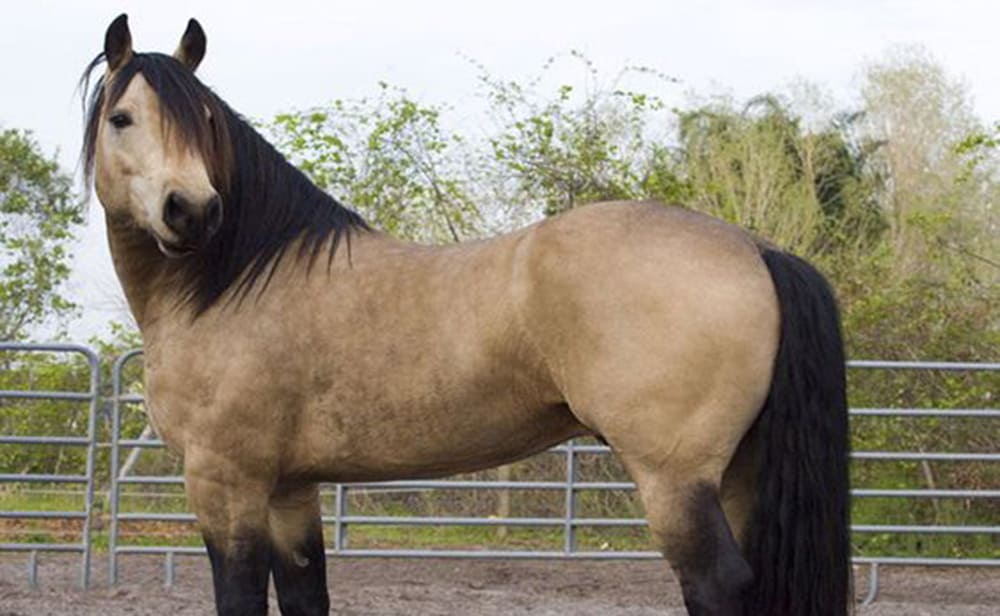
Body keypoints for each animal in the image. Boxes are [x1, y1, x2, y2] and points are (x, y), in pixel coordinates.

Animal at [81, 14, 851, 616]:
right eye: (122, 119)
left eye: (205, 122)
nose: (193, 210)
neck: (234, 282)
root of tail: (756, 248)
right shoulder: (289, 490)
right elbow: (304, 593)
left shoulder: (225, 481)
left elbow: (238, 596)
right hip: (740, 475)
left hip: (674, 481)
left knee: (719, 586)